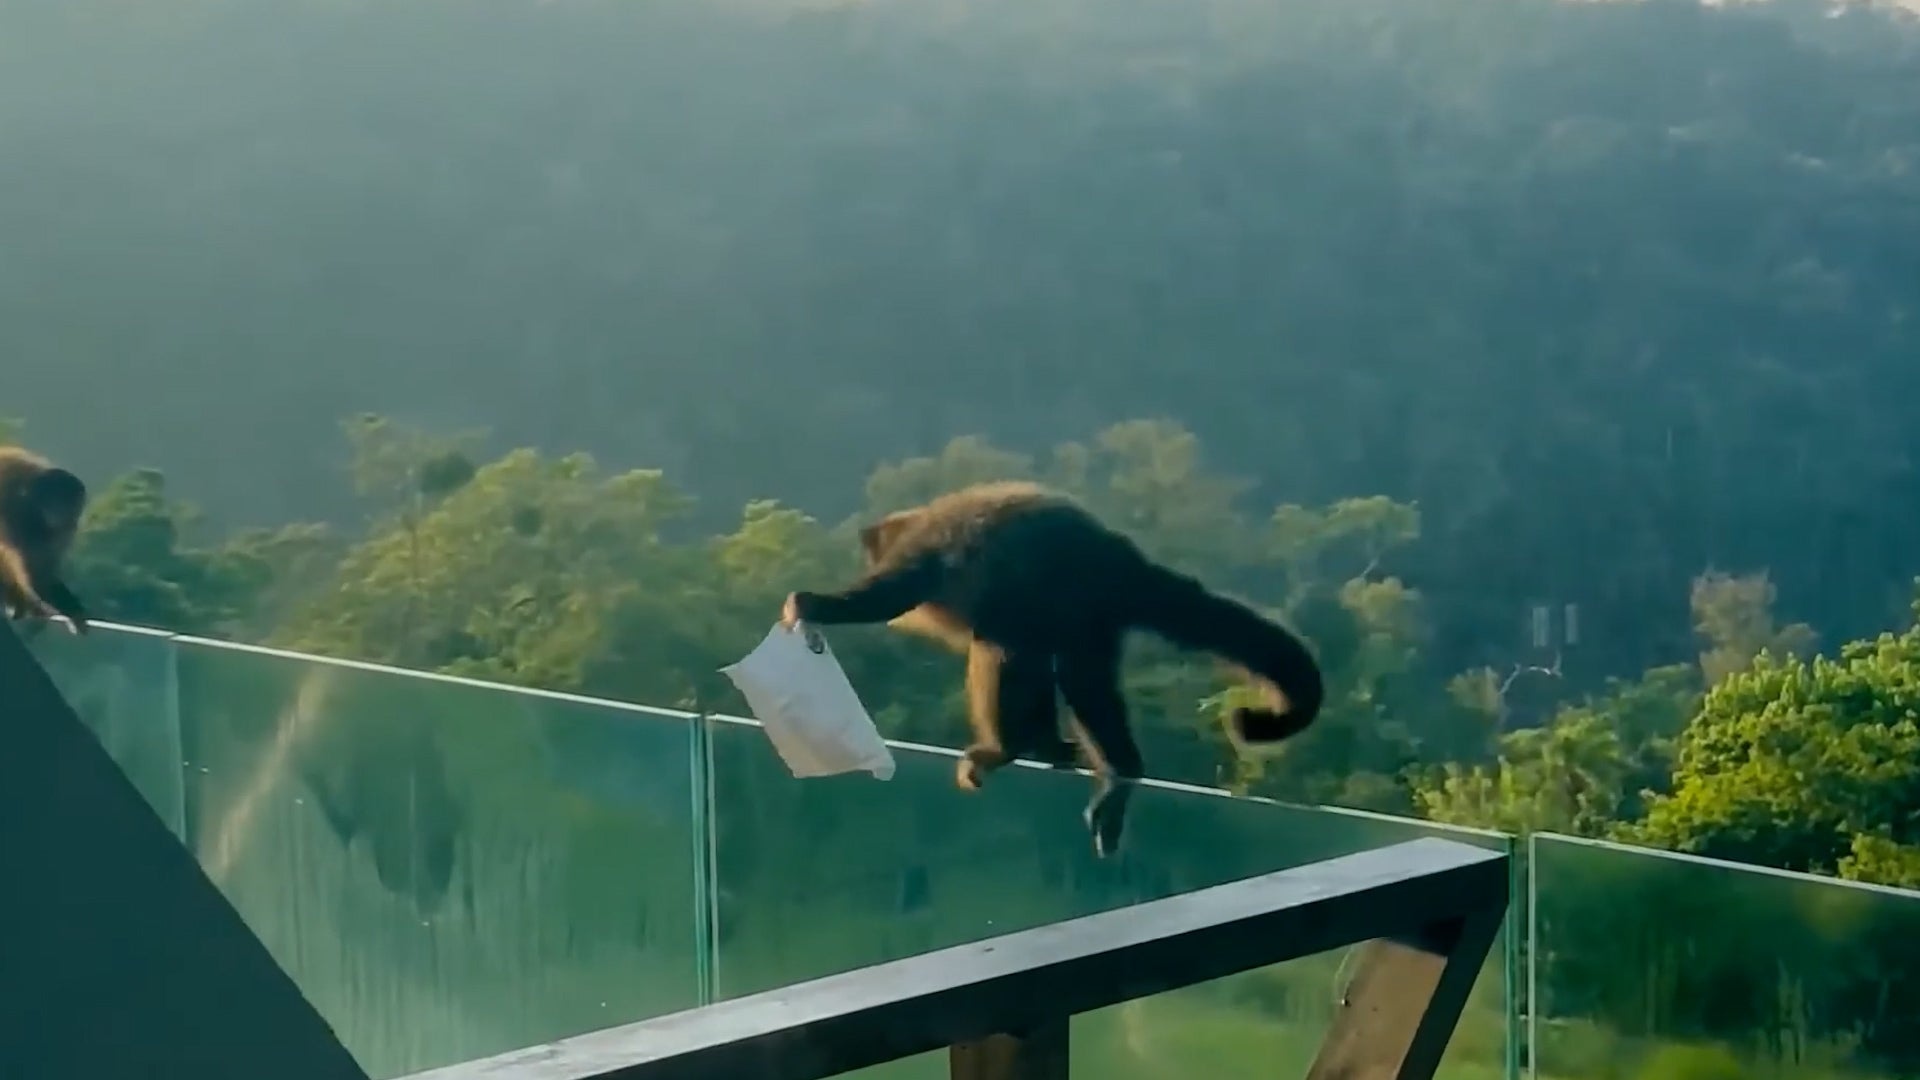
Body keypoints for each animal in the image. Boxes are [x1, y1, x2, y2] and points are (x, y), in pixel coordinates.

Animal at [0, 446, 90, 636]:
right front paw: (71, 610)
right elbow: (38, 575)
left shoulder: (66, 527)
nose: (60, 512)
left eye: (67, 503)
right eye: (54, 501)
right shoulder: (18, 514)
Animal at [783, 481, 1324, 858]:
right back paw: (1086, 757)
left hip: (1071, 596)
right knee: (1071, 672)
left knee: (1007, 646)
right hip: (1093, 618)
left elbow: (890, 594)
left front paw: (811, 603)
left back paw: (1021, 750)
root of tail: (1125, 562)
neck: (915, 521)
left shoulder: (922, 549)